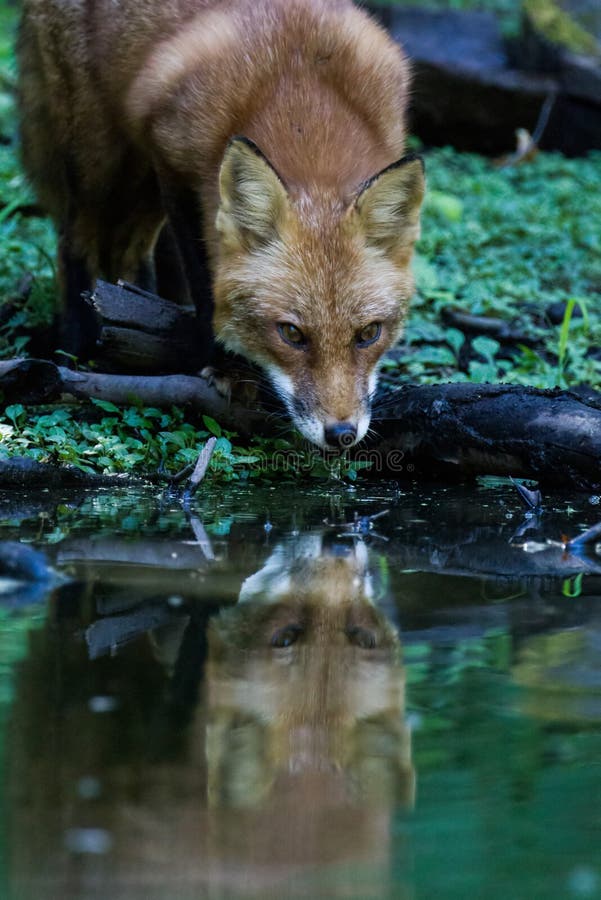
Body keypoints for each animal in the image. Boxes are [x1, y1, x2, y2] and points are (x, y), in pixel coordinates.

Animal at [17, 0, 425, 449]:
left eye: (369, 333)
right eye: (291, 334)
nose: (341, 434)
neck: (300, 83)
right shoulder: (172, 164)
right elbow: (204, 278)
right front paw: (227, 366)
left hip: (138, 184)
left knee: (127, 255)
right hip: (100, 162)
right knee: (78, 243)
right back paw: (77, 350)